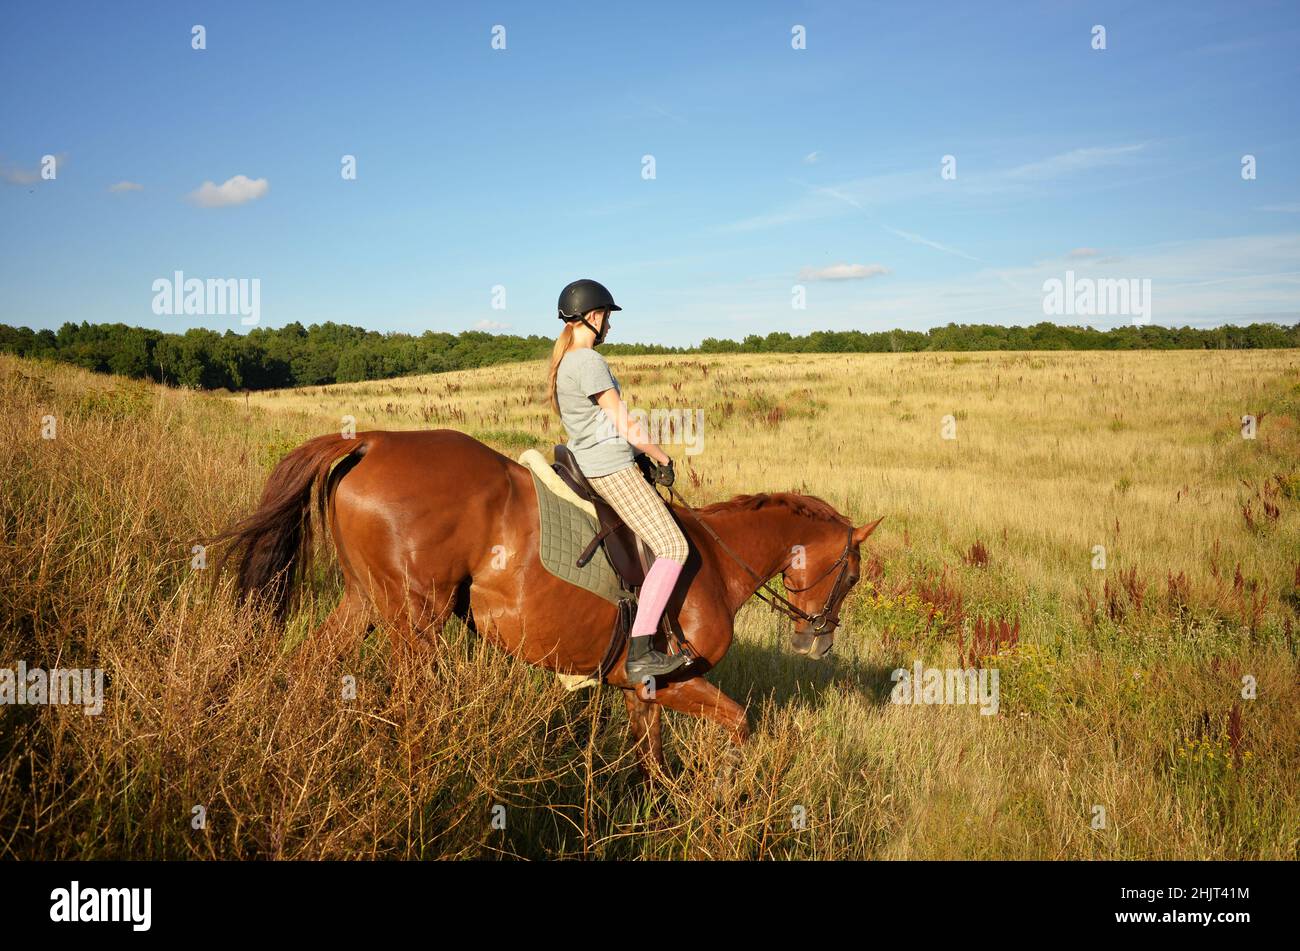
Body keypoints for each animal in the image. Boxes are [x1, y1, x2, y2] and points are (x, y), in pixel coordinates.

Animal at [211, 428, 882, 773]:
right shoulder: (671, 678)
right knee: (412, 706)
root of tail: (372, 442)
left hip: (364, 606)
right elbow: (739, 723)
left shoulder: (640, 688)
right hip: (414, 622)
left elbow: (652, 759)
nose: (817, 640)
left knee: (308, 668)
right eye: (851, 576)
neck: (716, 562)